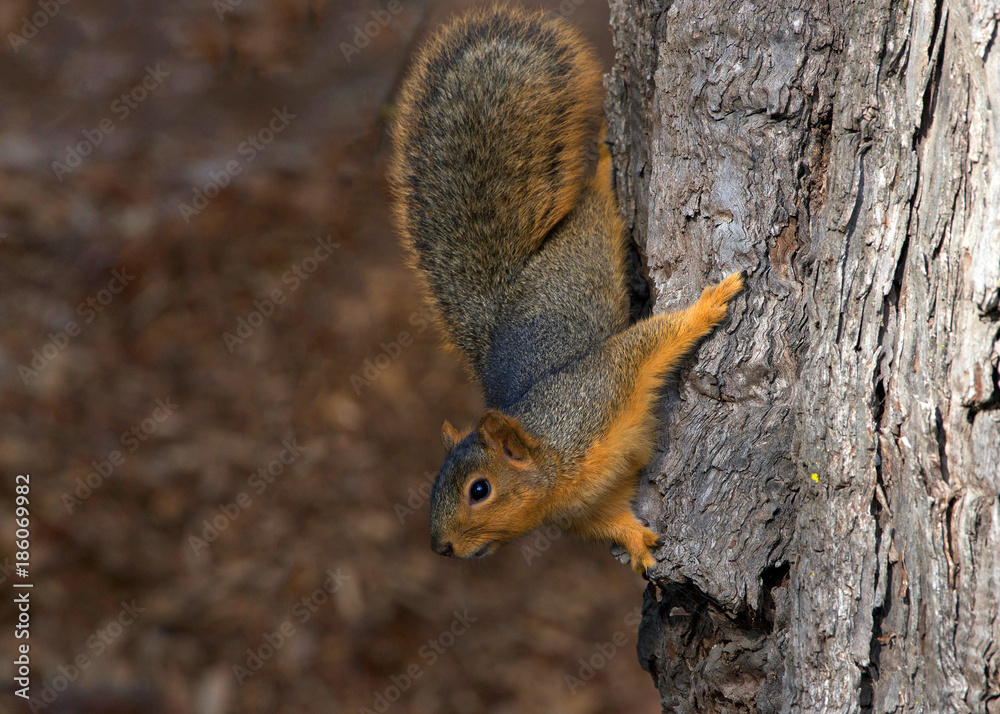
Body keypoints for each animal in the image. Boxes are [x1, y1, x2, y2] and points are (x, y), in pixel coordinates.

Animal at [388, 5, 743, 576]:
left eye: (479, 490)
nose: (441, 547)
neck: (555, 464)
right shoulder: (589, 505)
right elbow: (614, 521)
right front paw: (638, 546)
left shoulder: (598, 390)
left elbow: (648, 342)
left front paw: (706, 307)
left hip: (589, 236)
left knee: (593, 199)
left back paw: (604, 158)